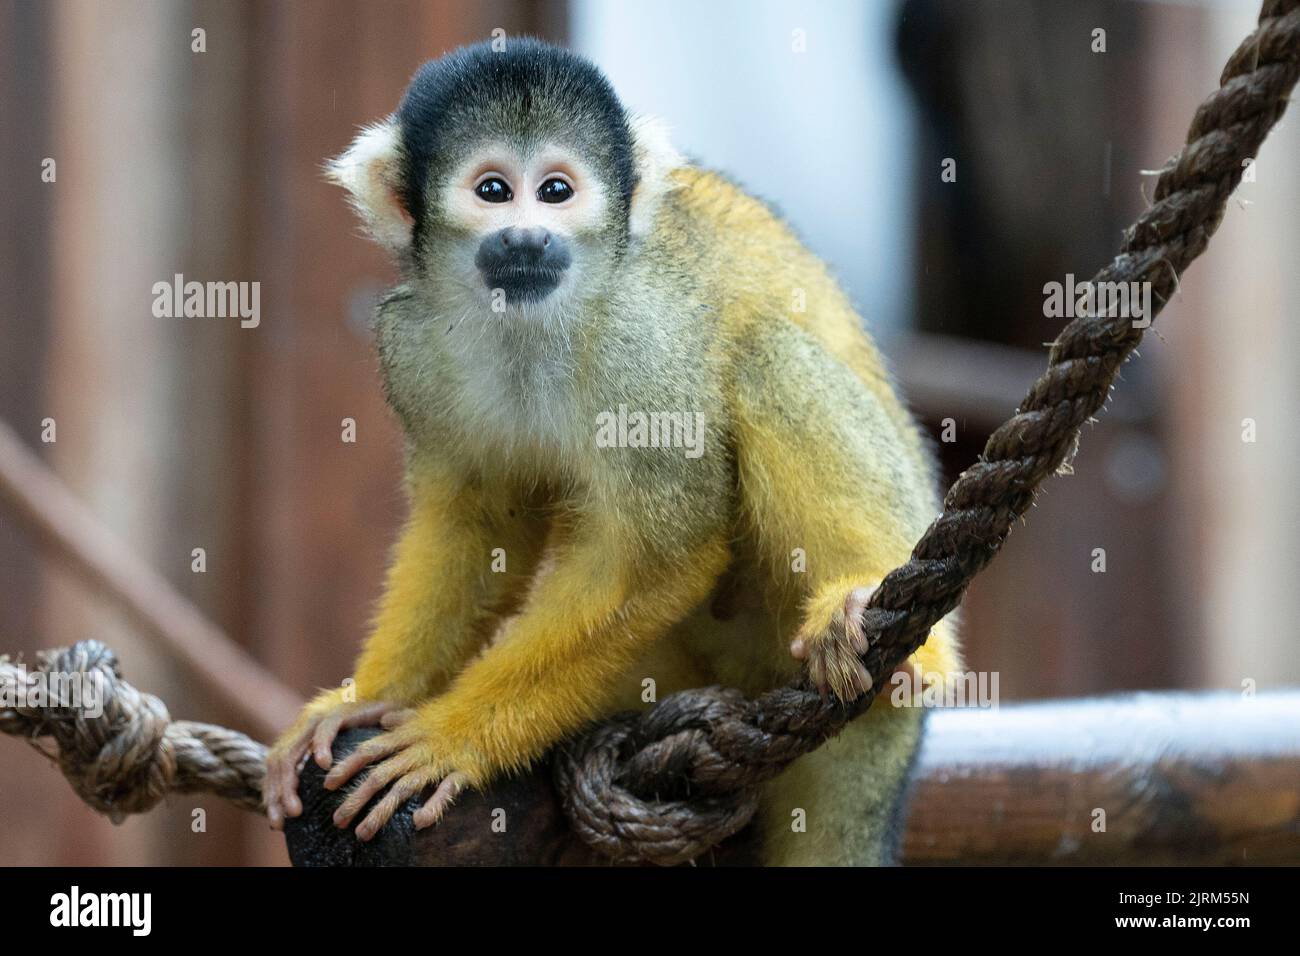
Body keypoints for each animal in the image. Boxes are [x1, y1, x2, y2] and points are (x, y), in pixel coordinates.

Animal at [263, 36, 961, 866]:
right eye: (493, 190)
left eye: (556, 190)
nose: (528, 236)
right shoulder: (408, 341)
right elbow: (477, 525)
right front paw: (369, 699)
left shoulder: (643, 342)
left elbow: (660, 558)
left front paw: (447, 736)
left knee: (767, 356)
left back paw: (896, 639)